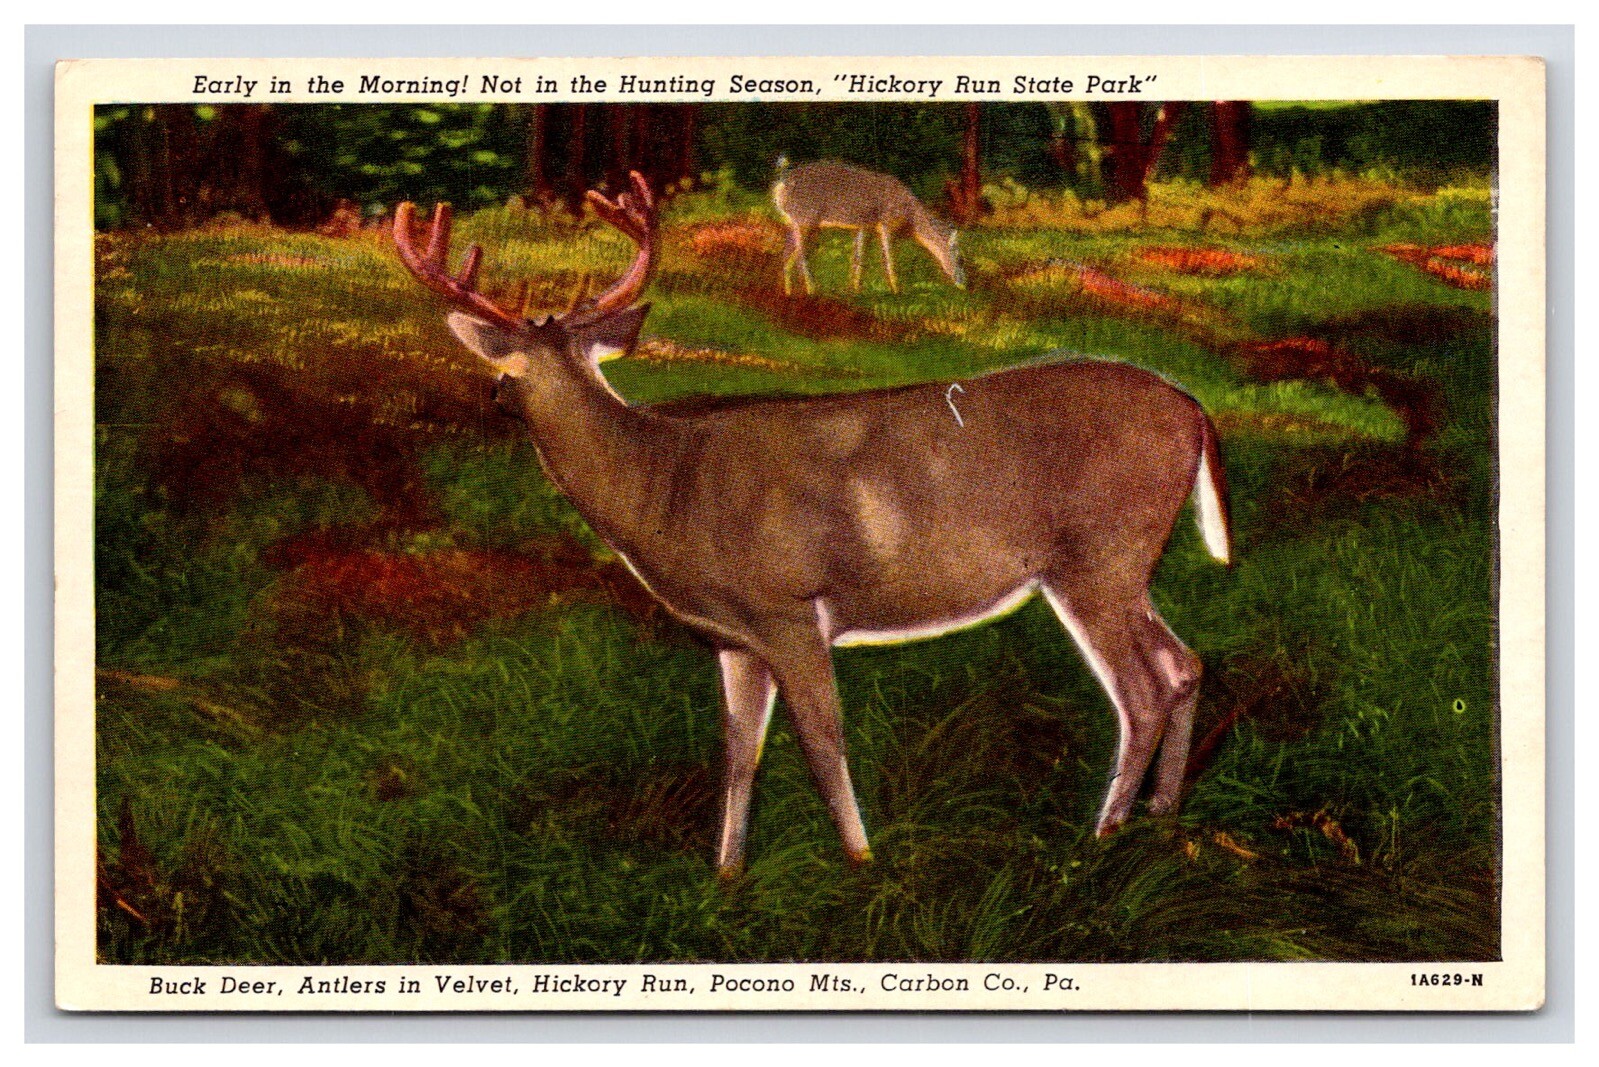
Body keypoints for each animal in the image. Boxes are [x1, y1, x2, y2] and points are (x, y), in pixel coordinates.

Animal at [772, 159, 966, 295]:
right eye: (960, 258)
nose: (964, 283)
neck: (909, 214)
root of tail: (781, 185)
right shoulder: (885, 221)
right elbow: (888, 257)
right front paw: (896, 290)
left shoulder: (863, 225)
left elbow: (858, 257)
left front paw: (855, 289)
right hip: (807, 217)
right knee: (800, 255)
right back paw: (812, 290)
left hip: (793, 221)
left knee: (786, 253)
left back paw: (788, 293)